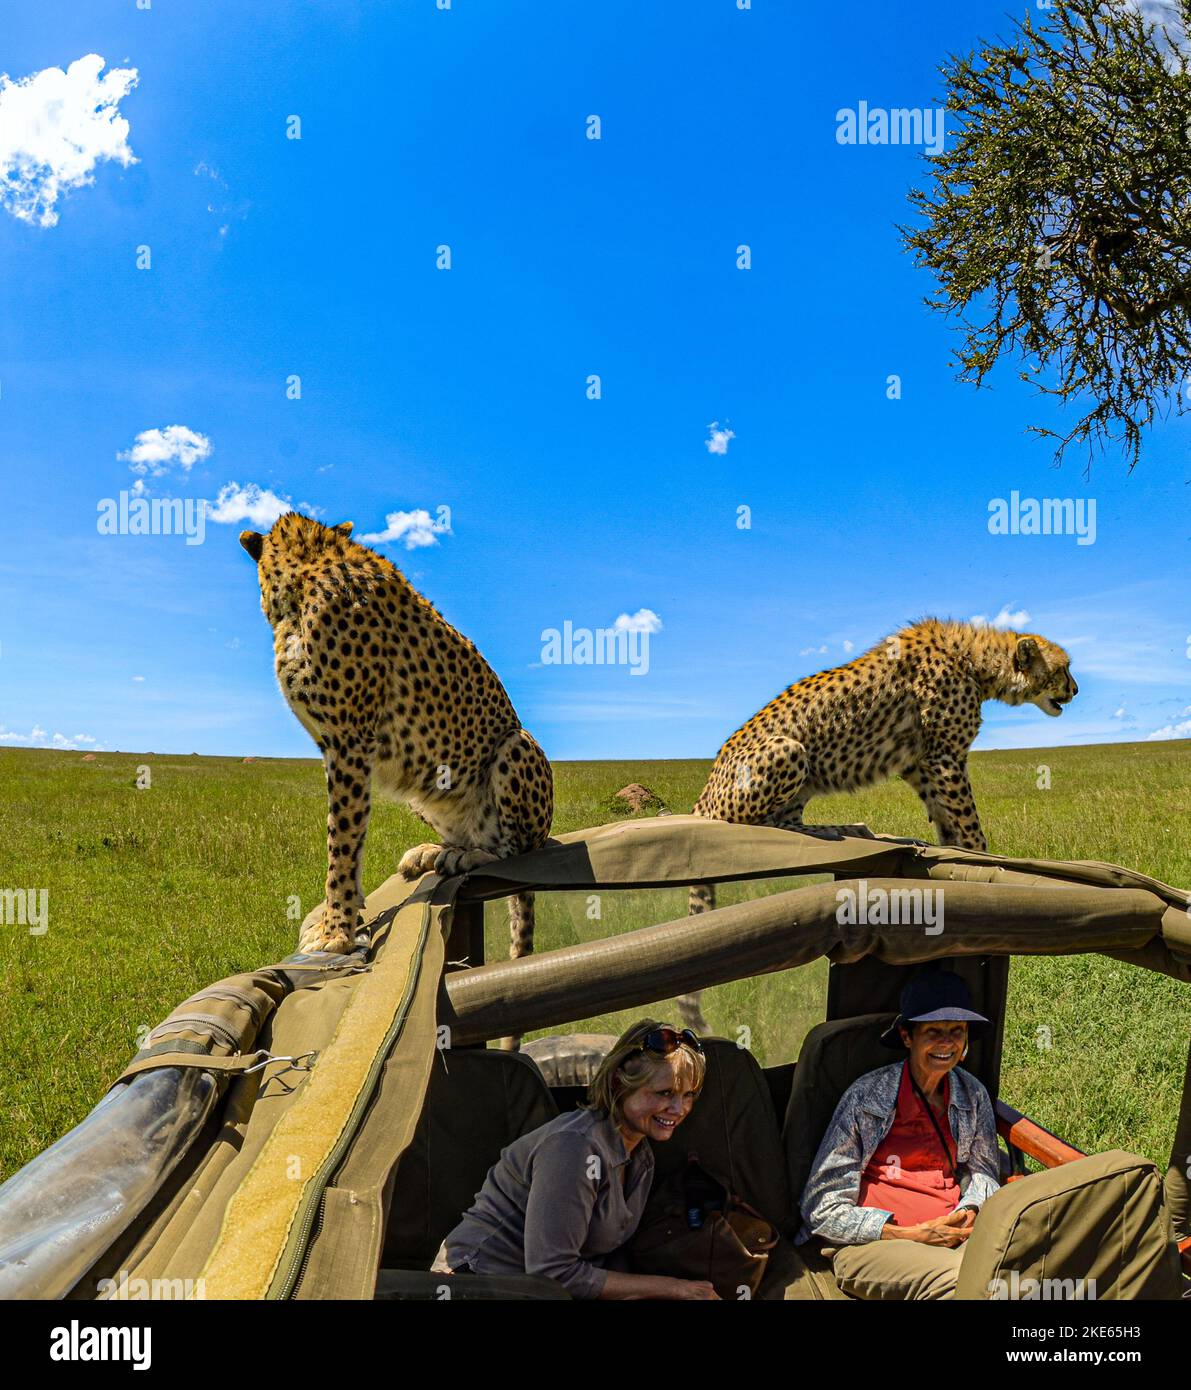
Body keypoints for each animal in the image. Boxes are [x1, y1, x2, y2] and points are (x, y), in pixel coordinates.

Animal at [240, 514, 553, 979]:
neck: (309, 570)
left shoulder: (349, 740)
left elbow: (343, 843)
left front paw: (335, 931)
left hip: (516, 745)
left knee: (511, 849)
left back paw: (469, 856)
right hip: (428, 790)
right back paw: (436, 852)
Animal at [677, 618, 1077, 1032]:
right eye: (1064, 669)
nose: (1075, 690)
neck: (976, 661)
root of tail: (704, 792)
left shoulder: (920, 762)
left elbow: (945, 815)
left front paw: (952, 852)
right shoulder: (943, 757)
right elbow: (966, 818)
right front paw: (983, 857)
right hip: (789, 751)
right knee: (760, 822)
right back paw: (829, 830)